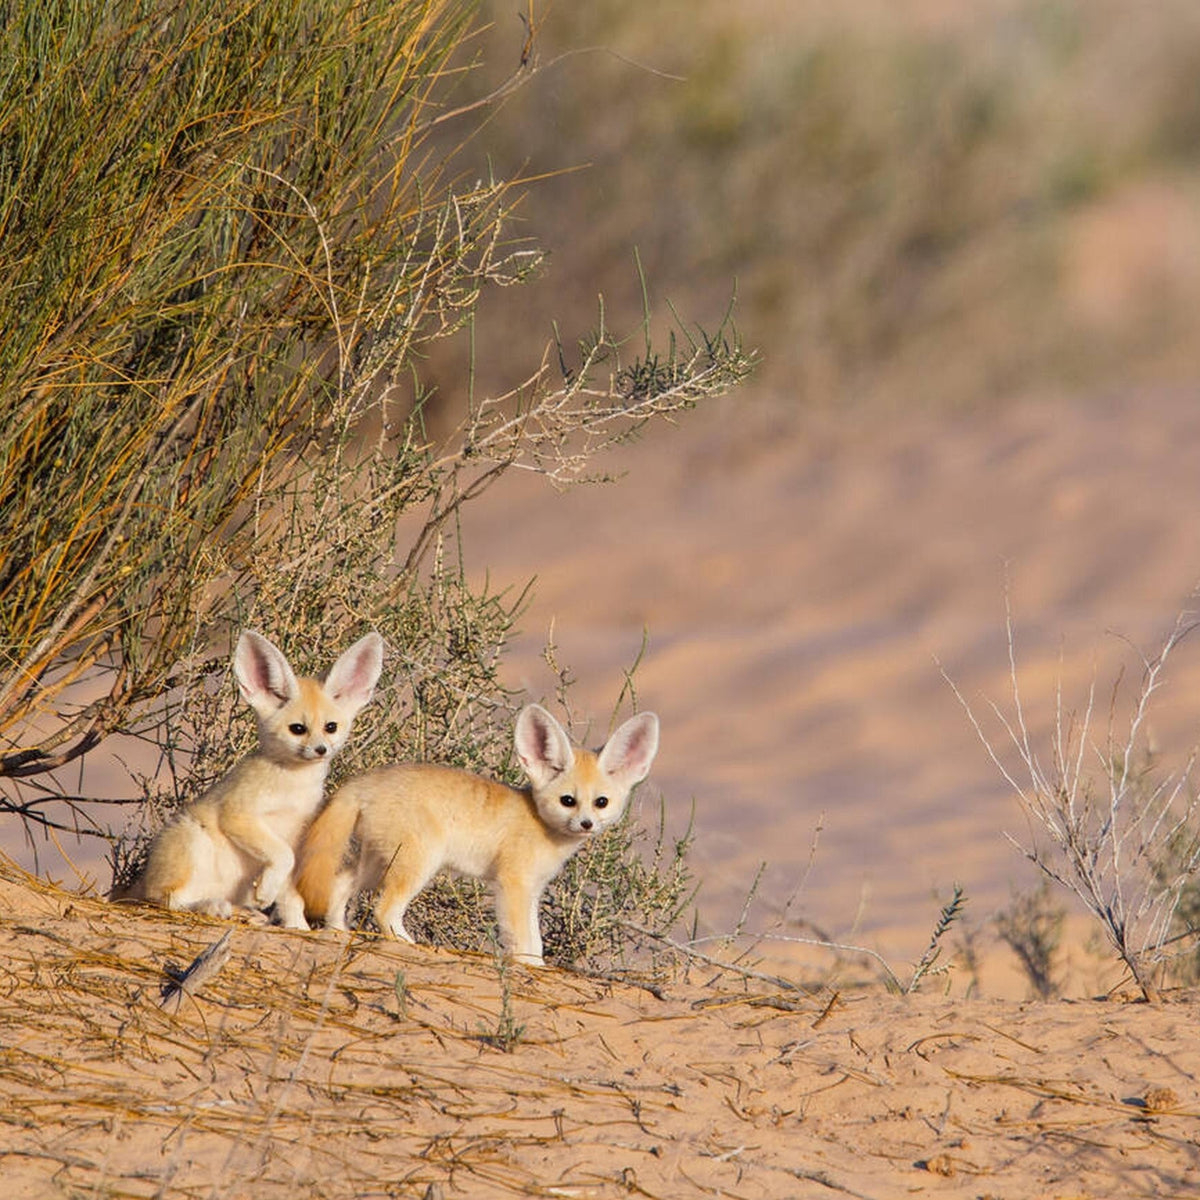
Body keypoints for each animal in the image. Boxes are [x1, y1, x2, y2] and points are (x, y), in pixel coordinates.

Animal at [122, 629, 384, 928]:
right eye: (297, 729)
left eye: (331, 727)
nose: (321, 750)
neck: (294, 786)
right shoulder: (238, 816)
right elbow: (282, 856)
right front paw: (266, 892)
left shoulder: (296, 837)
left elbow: (291, 894)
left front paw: (298, 926)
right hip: (192, 842)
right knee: (167, 899)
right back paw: (212, 906)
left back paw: (245, 913)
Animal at [294, 703, 660, 965]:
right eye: (567, 801)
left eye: (601, 802)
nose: (586, 824)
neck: (539, 823)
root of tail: (365, 782)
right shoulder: (513, 884)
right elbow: (522, 940)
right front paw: (529, 968)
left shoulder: (533, 889)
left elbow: (536, 940)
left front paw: (538, 965)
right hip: (416, 865)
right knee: (384, 910)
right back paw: (409, 945)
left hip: (377, 863)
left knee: (339, 885)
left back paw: (337, 932)